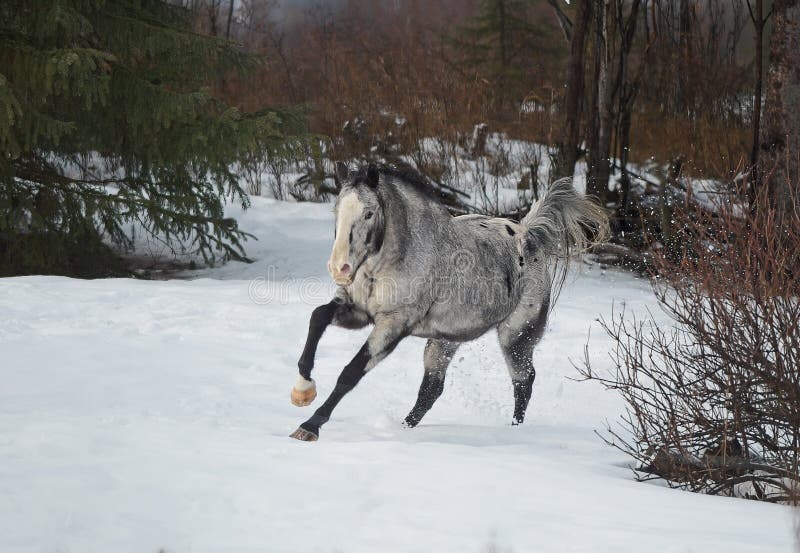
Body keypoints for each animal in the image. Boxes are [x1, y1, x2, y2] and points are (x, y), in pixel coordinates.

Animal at [289, 162, 608, 441]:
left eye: (368, 213)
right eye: (337, 209)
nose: (339, 268)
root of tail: (529, 234)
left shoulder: (392, 324)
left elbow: (350, 373)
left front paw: (309, 427)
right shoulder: (357, 311)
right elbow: (317, 317)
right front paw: (303, 390)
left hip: (516, 337)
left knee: (523, 382)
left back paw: (513, 430)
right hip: (444, 341)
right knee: (432, 389)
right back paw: (404, 427)